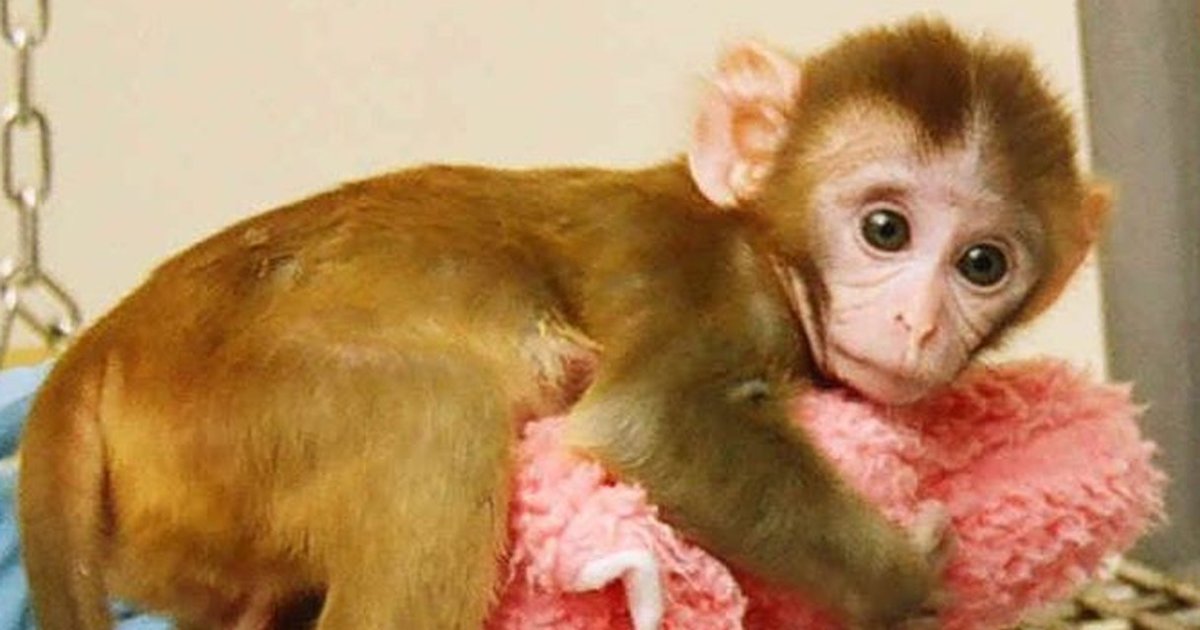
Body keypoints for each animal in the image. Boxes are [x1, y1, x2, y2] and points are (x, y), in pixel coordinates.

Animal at [16, 18, 1107, 630]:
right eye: (886, 228)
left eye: (981, 263)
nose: (919, 323)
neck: (758, 241)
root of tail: (105, 344)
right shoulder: (706, 283)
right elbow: (652, 424)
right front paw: (906, 579)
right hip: (228, 415)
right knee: (433, 417)